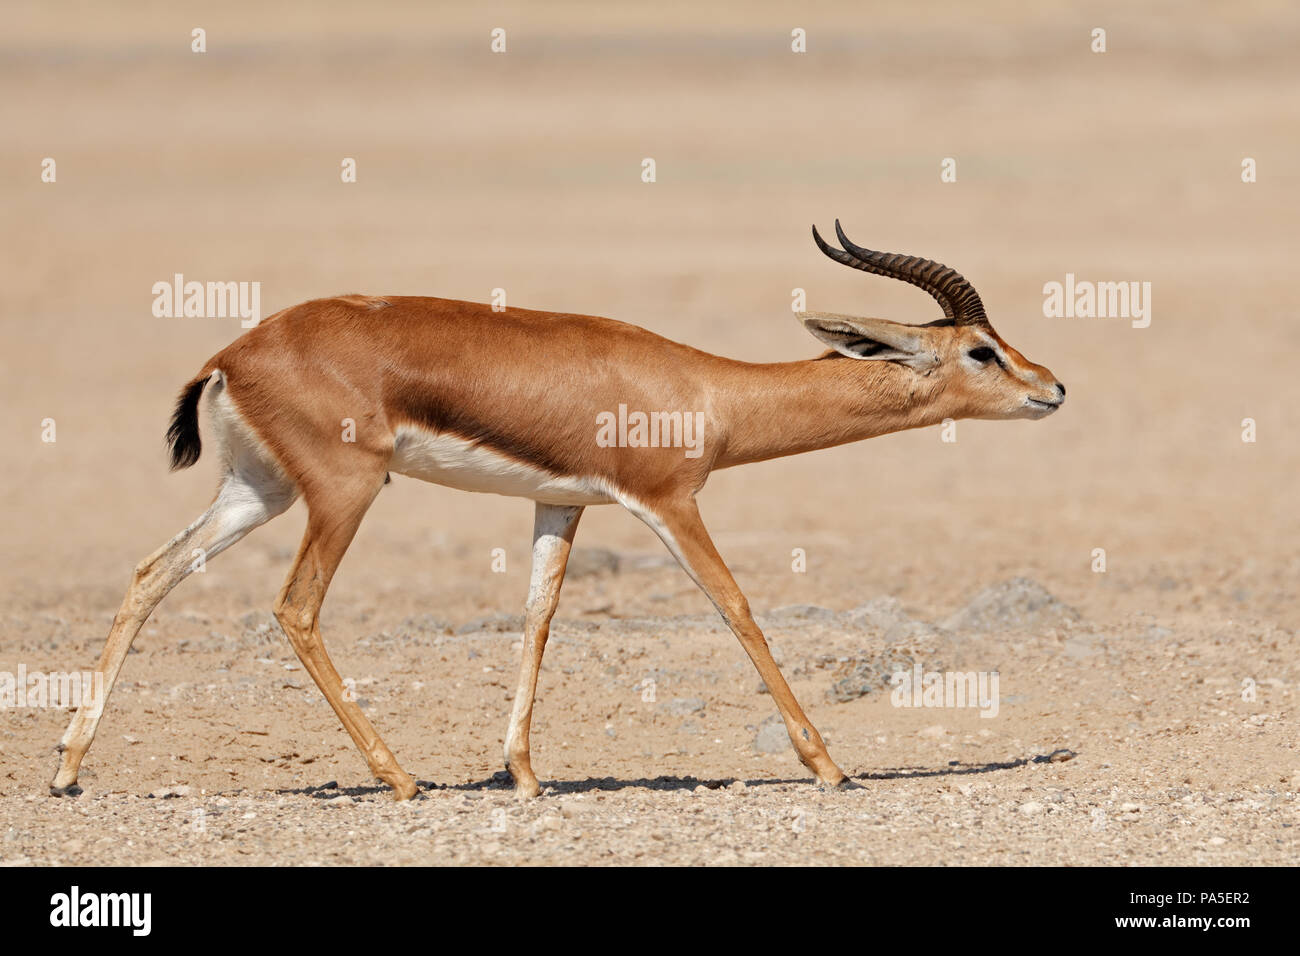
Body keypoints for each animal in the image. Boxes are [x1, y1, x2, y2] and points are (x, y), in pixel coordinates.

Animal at [51, 221, 1064, 801]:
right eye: (980, 349)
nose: (1052, 388)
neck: (706, 390)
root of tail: (233, 351)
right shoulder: (669, 502)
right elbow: (737, 609)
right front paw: (829, 765)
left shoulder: (559, 503)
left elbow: (537, 617)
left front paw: (527, 776)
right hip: (342, 492)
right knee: (295, 607)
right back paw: (401, 779)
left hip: (257, 490)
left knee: (151, 572)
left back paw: (66, 770)